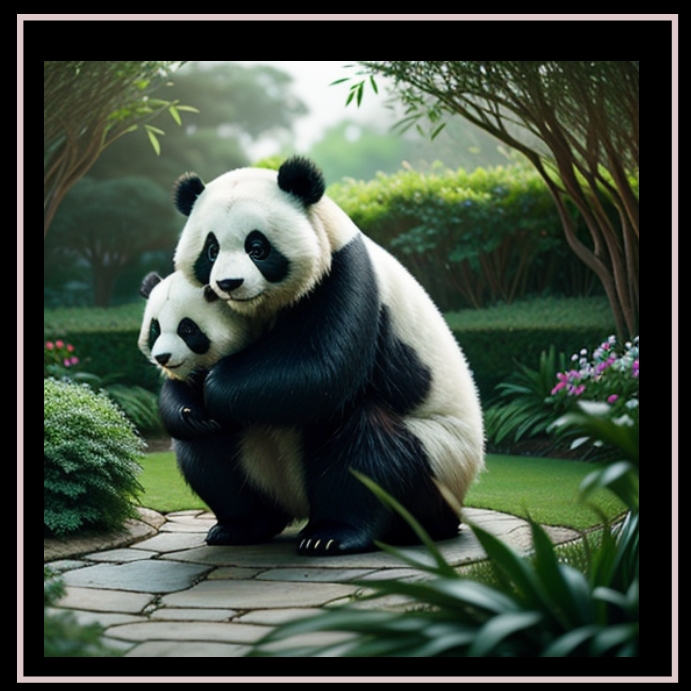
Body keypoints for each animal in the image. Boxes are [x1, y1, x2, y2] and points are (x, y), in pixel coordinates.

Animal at [138, 270, 305, 544]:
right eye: (155, 328)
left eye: (187, 328)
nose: (163, 357)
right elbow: (176, 394)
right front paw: (191, 417)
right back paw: (245, 526)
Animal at [165, 156, 485, 556]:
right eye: (211, 250)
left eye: (258, 247)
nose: (228, 284)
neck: (262, 308)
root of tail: (298, 502)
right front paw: (188, 399)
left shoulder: (346, 277)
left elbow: (318, 372)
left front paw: (214, 385)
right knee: (207, 450)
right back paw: (242, 525)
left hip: (438, 462)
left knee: (364, 442)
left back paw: (334, 534)